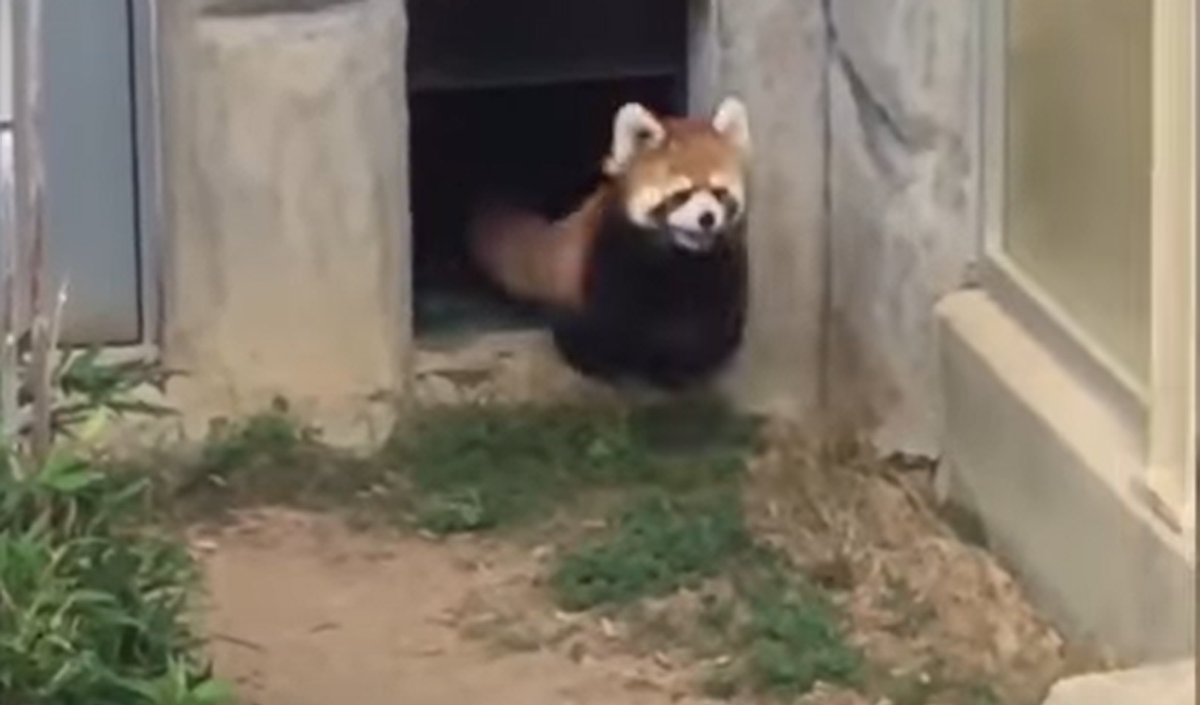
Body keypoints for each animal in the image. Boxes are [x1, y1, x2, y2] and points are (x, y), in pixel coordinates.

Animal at [467, 97, 752, 392]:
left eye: (720, 193)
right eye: (680, 195)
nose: (707, 218)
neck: (676, 260)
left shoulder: (716, 273)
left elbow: (705, 328)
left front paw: (678, 369)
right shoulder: (611, 265)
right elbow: (607, 325)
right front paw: (607, 367)